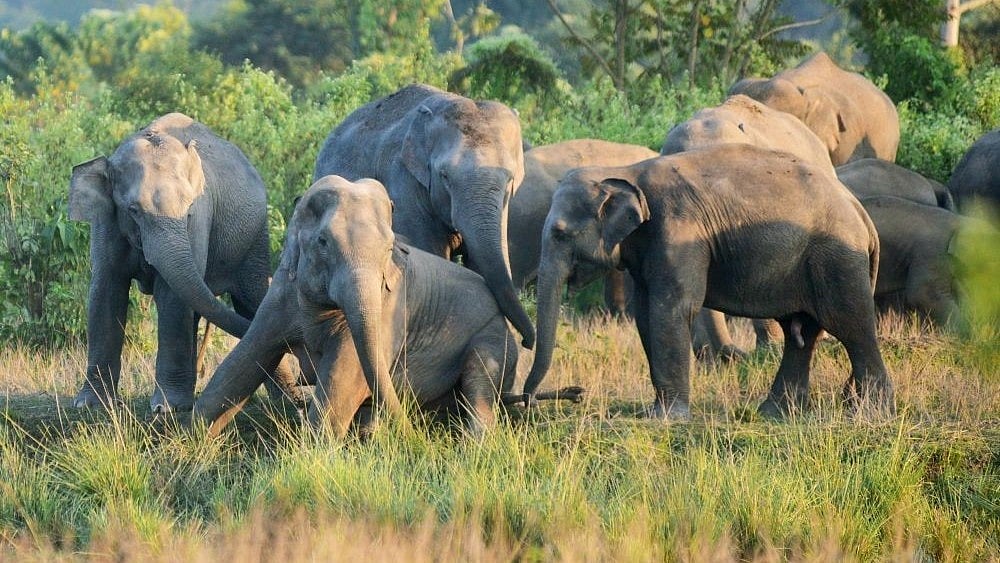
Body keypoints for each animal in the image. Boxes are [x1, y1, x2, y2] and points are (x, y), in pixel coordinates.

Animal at [68, 113, 295, 412]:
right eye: (133, 210)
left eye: (188, 210)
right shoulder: (107, 221)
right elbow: (105, 291)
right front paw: (89, 405)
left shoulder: (198, 220)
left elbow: (171, 297)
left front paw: (165, 409)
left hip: (255, 238)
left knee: (253, 300)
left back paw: (288, 401)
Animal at [193, 176, 580, 437]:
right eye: (323, 242)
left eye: (389, 247)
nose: (411, 437)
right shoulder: (282, 296)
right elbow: (243, 360)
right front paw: (191, 438)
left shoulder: (388, 306)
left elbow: (344, 380)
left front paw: (312, 452)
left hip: (494, 339)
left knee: (480, 387)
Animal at [524, 144, 894, 420]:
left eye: (560, 233)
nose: (529, 402)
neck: (627, 172)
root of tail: (861, 214)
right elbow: (645, 314)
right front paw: (655, 412)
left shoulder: (679, 233)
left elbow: (672, 310)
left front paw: (667, 418)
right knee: (799, 332)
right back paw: (775, 414)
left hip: (837, 259)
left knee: (849, 324)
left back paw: (868, 412)